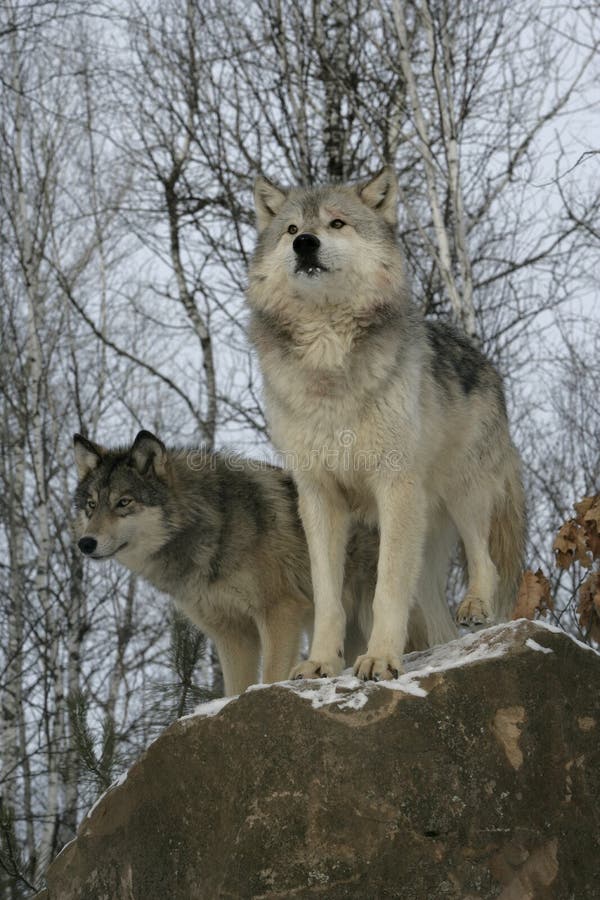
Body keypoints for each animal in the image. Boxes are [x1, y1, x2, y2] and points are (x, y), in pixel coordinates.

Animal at [73, 430, 456, 696]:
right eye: (91, 505)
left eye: (123, 502)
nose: (85, 543)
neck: (214, 525)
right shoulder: (231, 635)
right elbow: (234, 691)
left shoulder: (279, 613)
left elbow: (270, 676)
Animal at [248, 166, 526, 682]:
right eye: (291, 229)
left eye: (337, 223)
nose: (305, 244)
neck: (328, 356)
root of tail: (482, 356)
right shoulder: (318, 498)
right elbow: (328, 597)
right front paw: (320, 661)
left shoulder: (394, 485)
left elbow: (386, 590)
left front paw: (379, 658)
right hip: (427, 531)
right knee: (436, 615)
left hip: (462, 492)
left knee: (485, 561)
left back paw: (476, 606)